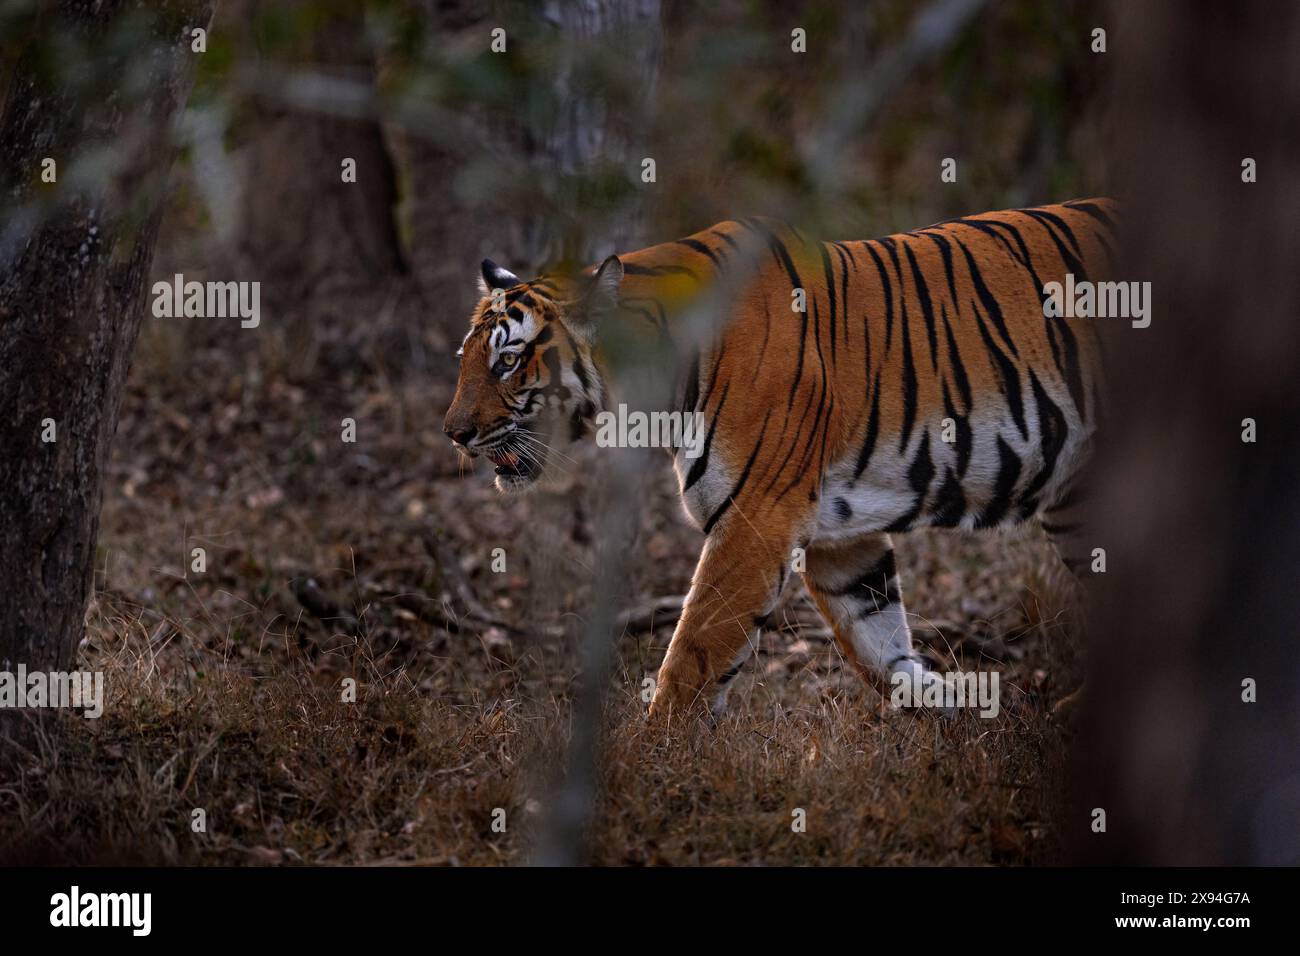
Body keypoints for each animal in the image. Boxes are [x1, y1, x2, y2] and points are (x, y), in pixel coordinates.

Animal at [443, 199, 1117, 720]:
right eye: (466, 359)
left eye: (508, 361)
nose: (454, 433)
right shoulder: (843, 535)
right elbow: (877, 642)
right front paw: (957, 710)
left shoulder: (756, 519)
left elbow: (695, 652)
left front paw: (650, 763)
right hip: (1079, 499)